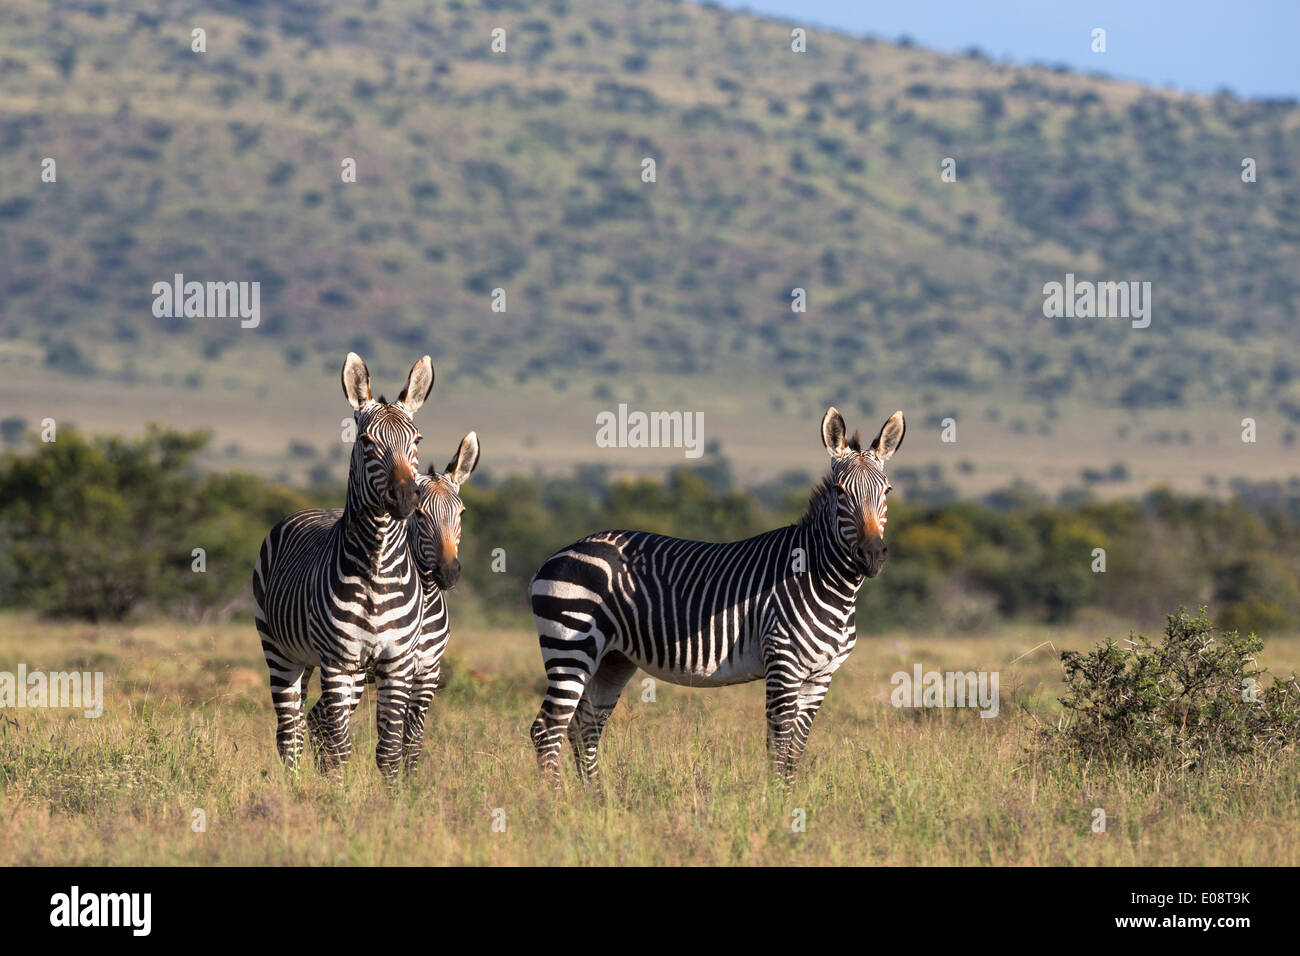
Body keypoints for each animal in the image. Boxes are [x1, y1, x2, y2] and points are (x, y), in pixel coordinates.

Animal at [252, 352, 433, 779]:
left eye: (416, 440)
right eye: (366, 442)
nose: (405, 497)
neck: (377, 567)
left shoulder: (397, 662)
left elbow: (388, 750)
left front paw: (395, 794)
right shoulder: (338, 662)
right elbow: (341, 747)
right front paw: (337, 792)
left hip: (326, 664)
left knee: (307, 722)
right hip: (279, 651)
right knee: (290, 730)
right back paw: (293, 785)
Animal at [528, 406, 905, 786]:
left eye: (887, 491)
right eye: (841, 492)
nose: (872, 556)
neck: (828, 585)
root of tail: (558, 553)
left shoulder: (820, 676)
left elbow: (795, 750)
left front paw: (791, 796)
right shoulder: (783, 665)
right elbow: (779, 746)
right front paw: (778, 801)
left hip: (613, 658)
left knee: (584, 727)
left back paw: (596, 797)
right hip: (571, 645)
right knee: (546, 730)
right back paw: (557, 799)